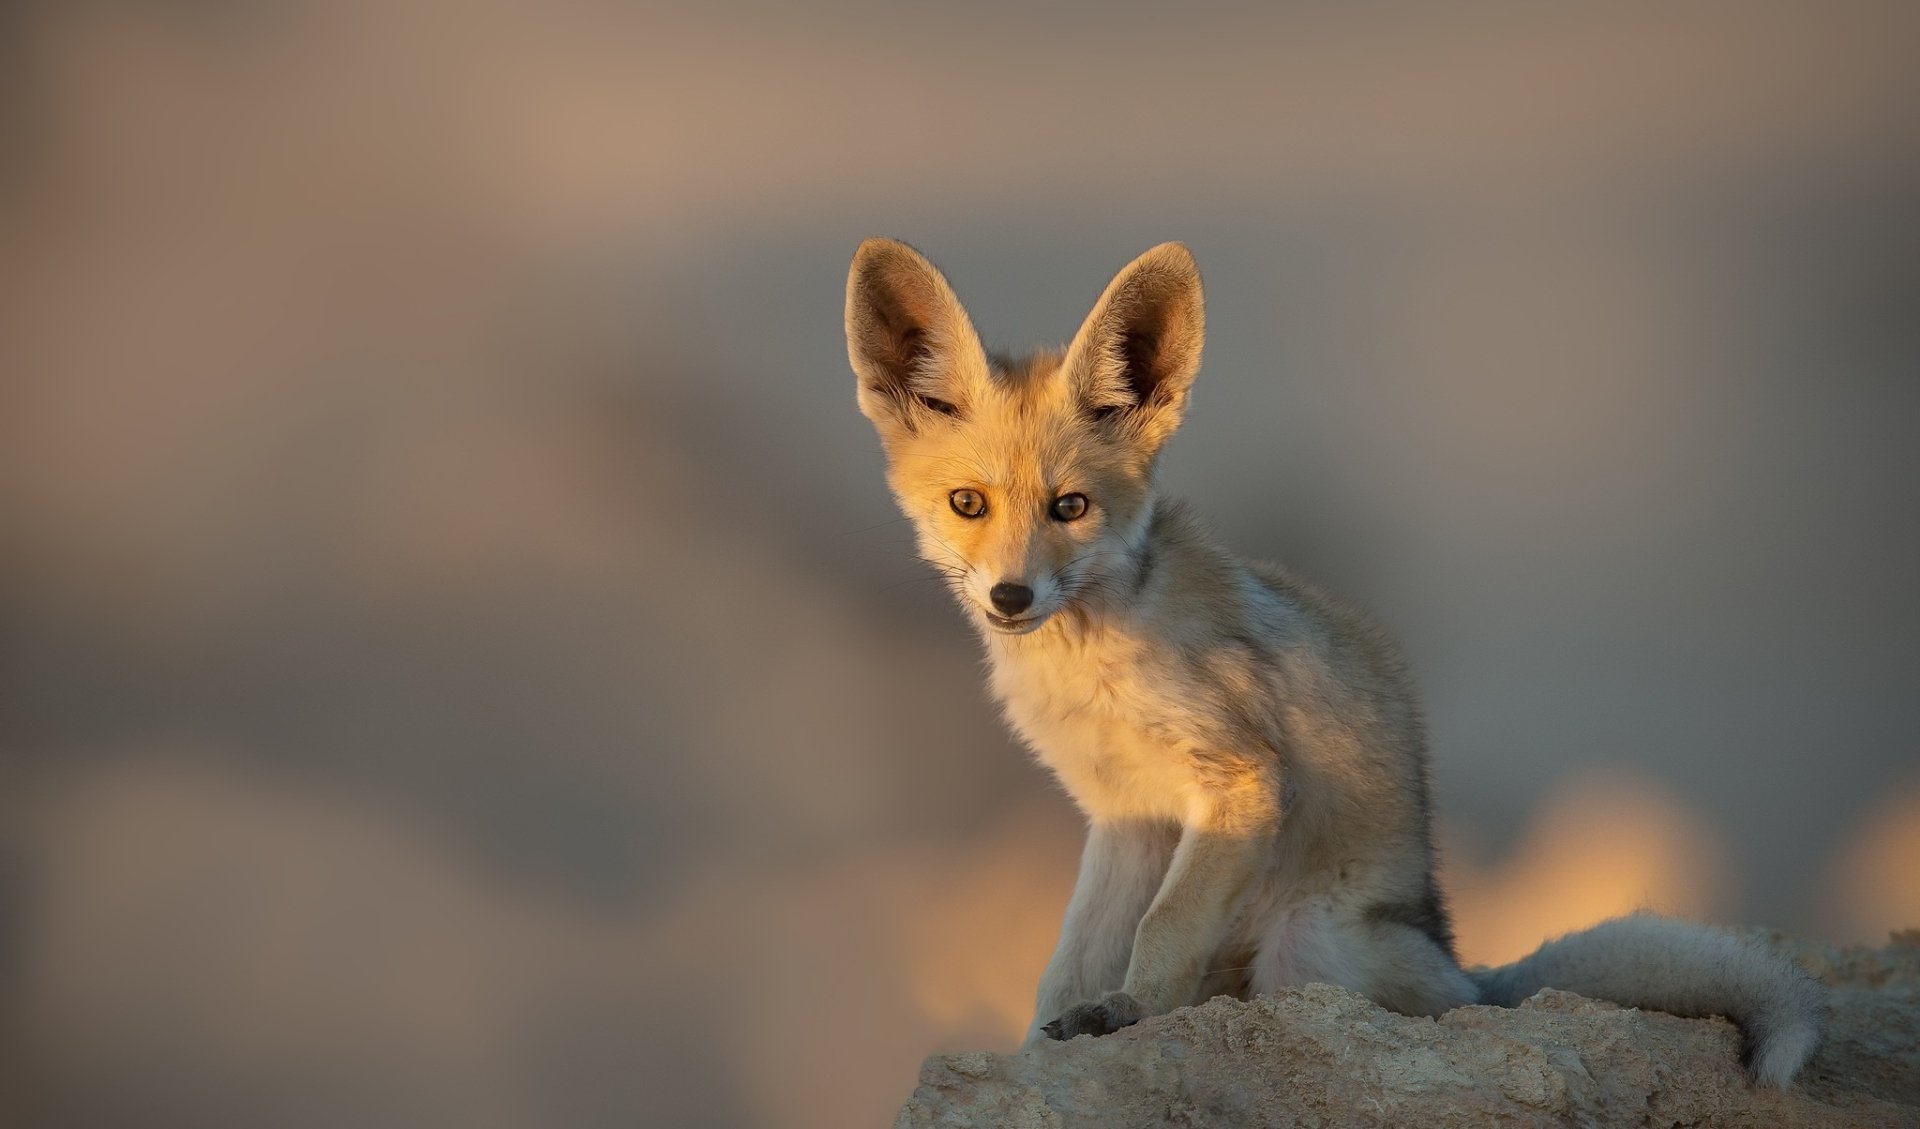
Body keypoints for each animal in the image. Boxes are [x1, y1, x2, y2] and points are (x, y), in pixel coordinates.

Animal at [843, 238, 1826, 1087]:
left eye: (1070, 506)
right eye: (968, 503)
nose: (1011, 597)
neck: (1091, 662)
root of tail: (1466, 968)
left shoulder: (1241, 779)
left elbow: (1161, 929)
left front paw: (1130, 1013)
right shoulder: (1123, 818)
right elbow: (1069, 962)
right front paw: (1045, 1047)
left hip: (1307, 946)